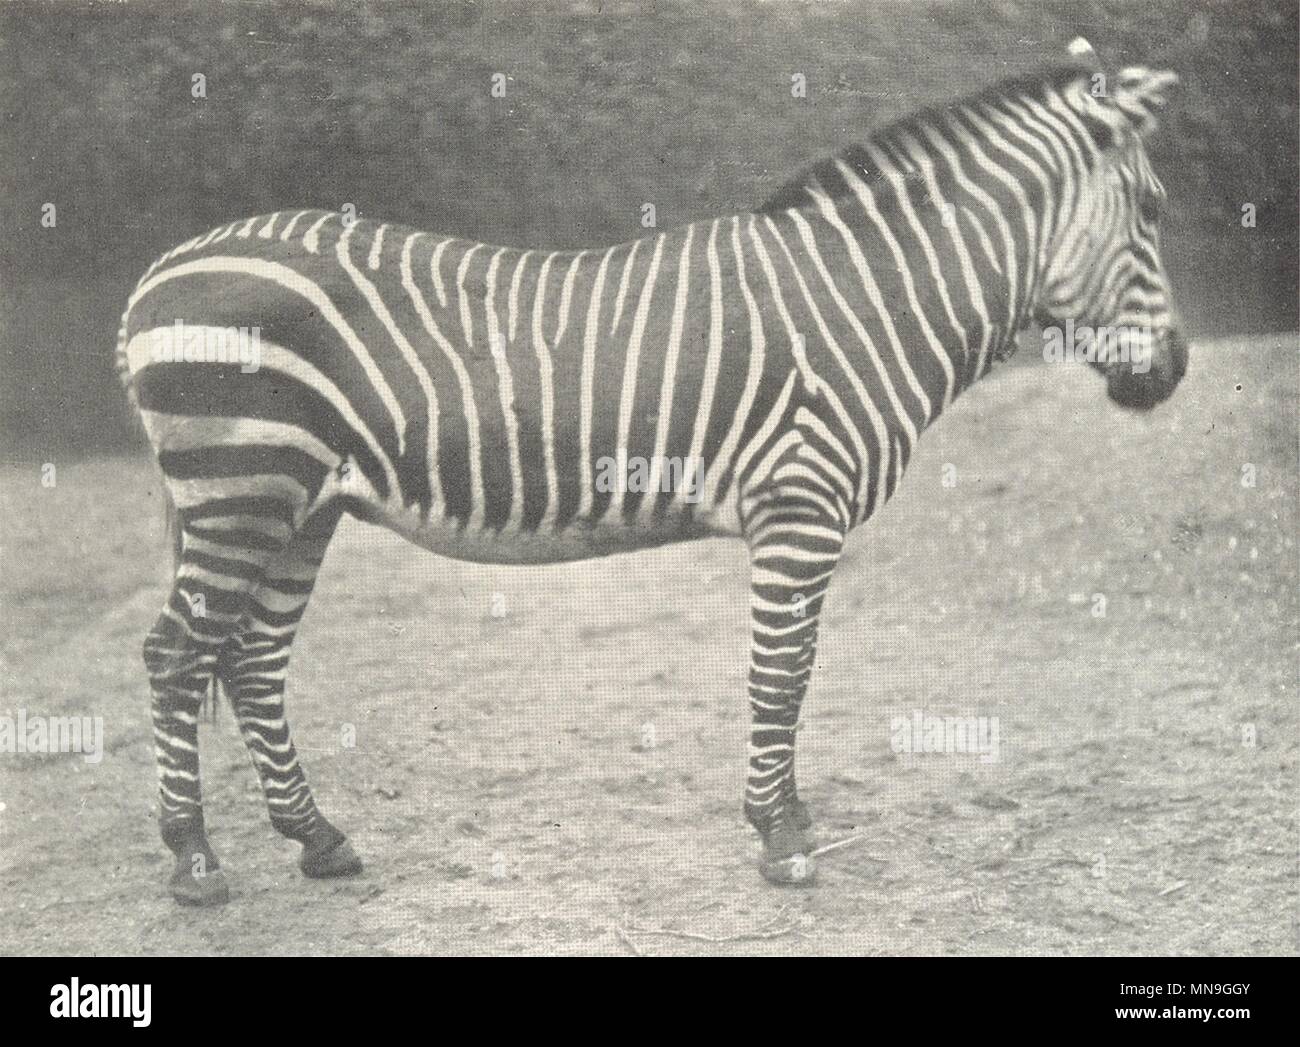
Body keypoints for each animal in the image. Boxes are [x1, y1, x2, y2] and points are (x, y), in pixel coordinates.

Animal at [116, 41, 1186, 904]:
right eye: (1151, 207)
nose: (1171, 374)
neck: (866, 297)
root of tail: (157, 272)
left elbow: (786, 673)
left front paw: (783, 818)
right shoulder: (801, 505)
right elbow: (781, 675)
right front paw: (782, 838)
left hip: (300, 505)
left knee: (251, 660)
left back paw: (318, 838)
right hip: (243, 488)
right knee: (176, 655)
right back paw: (195, 861)